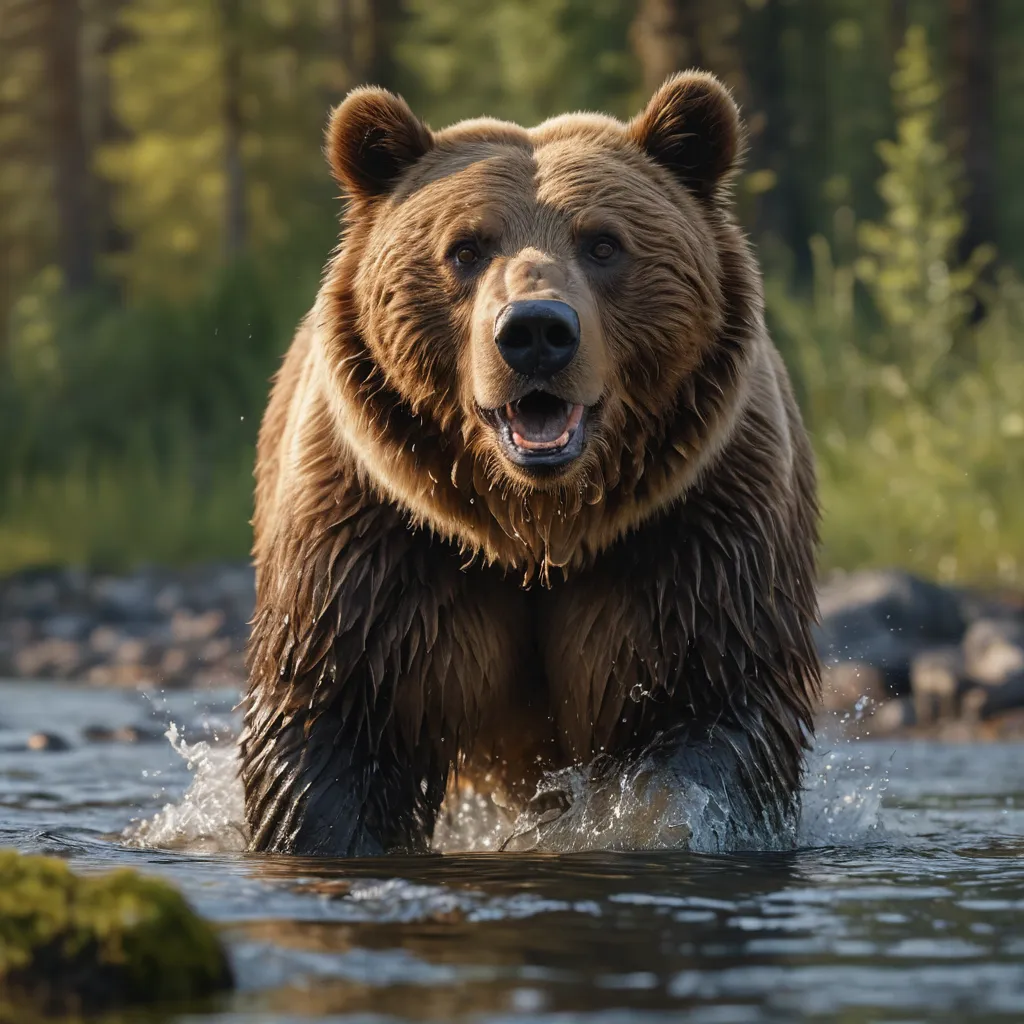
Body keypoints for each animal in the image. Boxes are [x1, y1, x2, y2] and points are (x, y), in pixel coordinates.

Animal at [239, 71, 821, 857]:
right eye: (464, 248)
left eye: (603, 243)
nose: (536, 331)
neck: (536, 524)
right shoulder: (377, 536)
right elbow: (334, 716)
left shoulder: (695, 529)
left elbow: (714, 705)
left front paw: (638, 824)